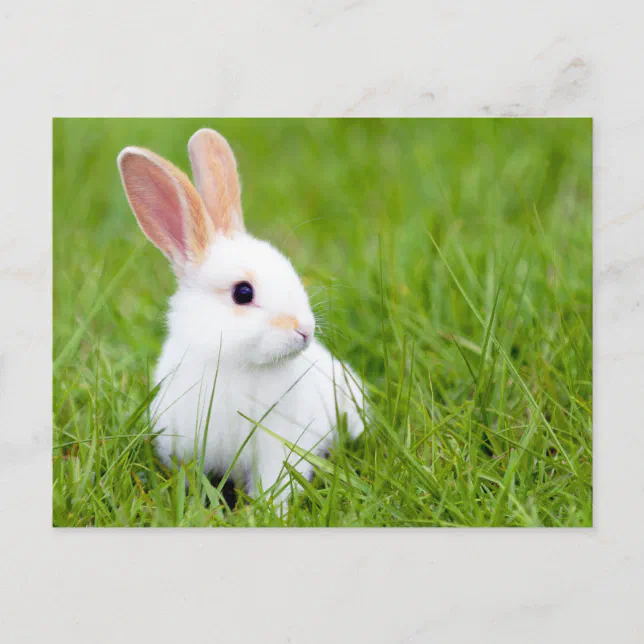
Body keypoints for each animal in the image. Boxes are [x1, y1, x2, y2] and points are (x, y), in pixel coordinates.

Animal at [117, 128, 366, 511]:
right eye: (243, 293)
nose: (304, 330)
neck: (233, 363)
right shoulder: (183, 445)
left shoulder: (277, 446)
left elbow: (275, 482)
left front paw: (271, 512)